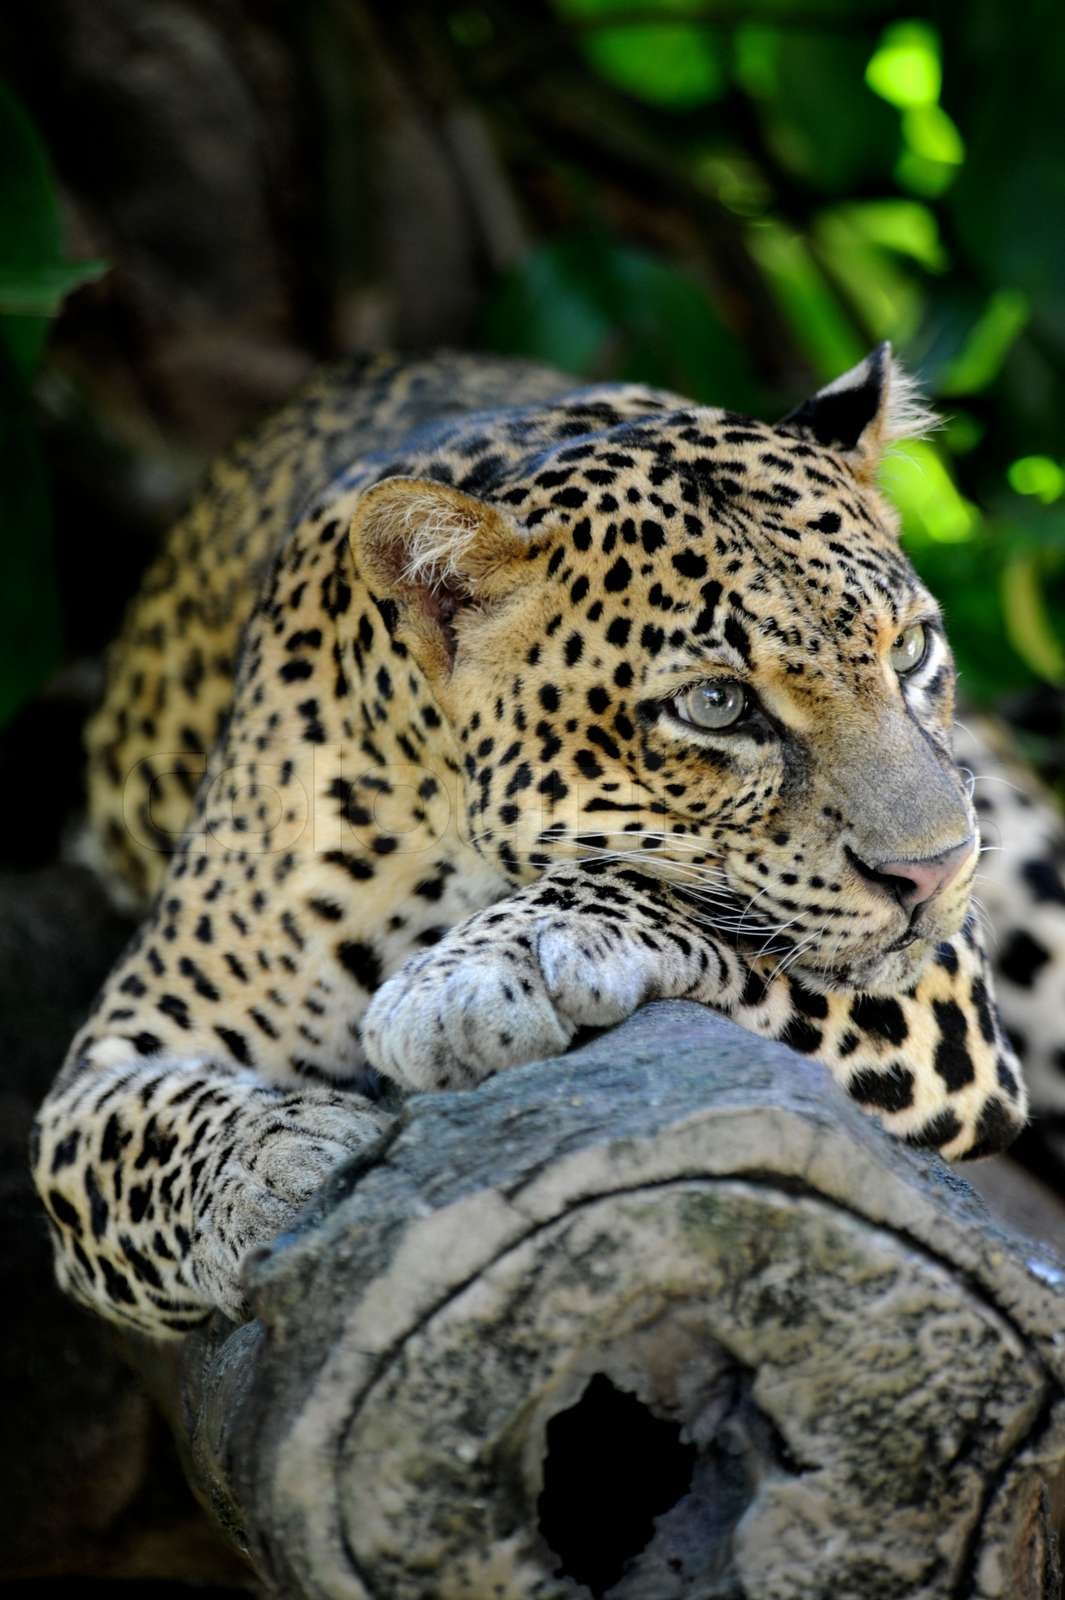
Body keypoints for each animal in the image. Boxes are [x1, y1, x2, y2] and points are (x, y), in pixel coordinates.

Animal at [30, 345, 1065, 1340]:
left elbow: (672, 893)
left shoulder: (943, 984)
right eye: (716, 703)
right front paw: (280, 1164)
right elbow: (128, 1144)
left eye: (909, 649)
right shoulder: (121, 1054)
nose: (936, 869)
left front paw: (482, 973)